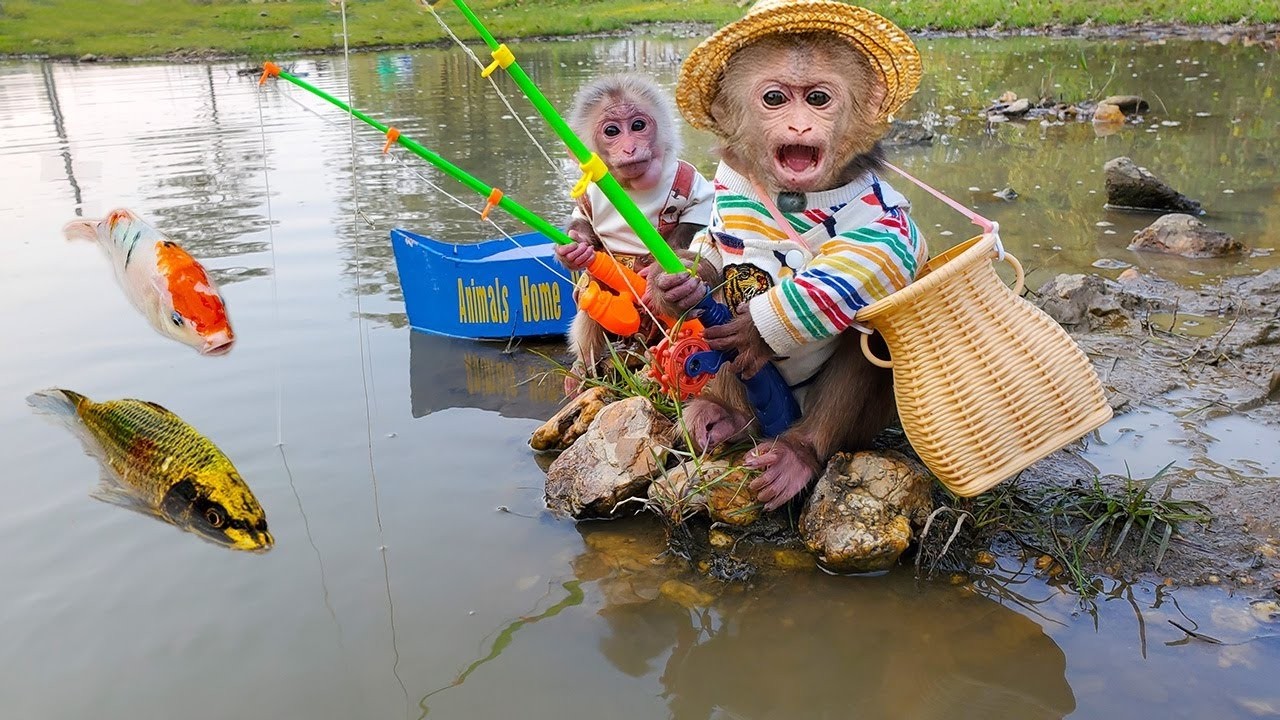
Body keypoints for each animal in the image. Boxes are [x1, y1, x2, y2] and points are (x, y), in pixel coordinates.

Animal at [554, 73, 715, 398]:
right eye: (612, 131)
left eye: (638, 126)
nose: (629, 148)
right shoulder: (589, 194)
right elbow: (584, 226)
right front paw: (574, 249)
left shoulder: (693, 185)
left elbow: (695, 236)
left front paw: (668, 283)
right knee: (594, 284)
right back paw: (582, 370)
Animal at [646, 10, 928, 512]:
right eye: (775, 99)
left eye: (818, 98)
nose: (799, 126)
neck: (793, 197)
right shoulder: (726, 195)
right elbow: (712, 251)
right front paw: (675, 284)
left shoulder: (882, 201)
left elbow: (887, 249)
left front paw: (757, 331)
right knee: (715, 344)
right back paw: (722, 414)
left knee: (870, 332)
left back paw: (798, 453)